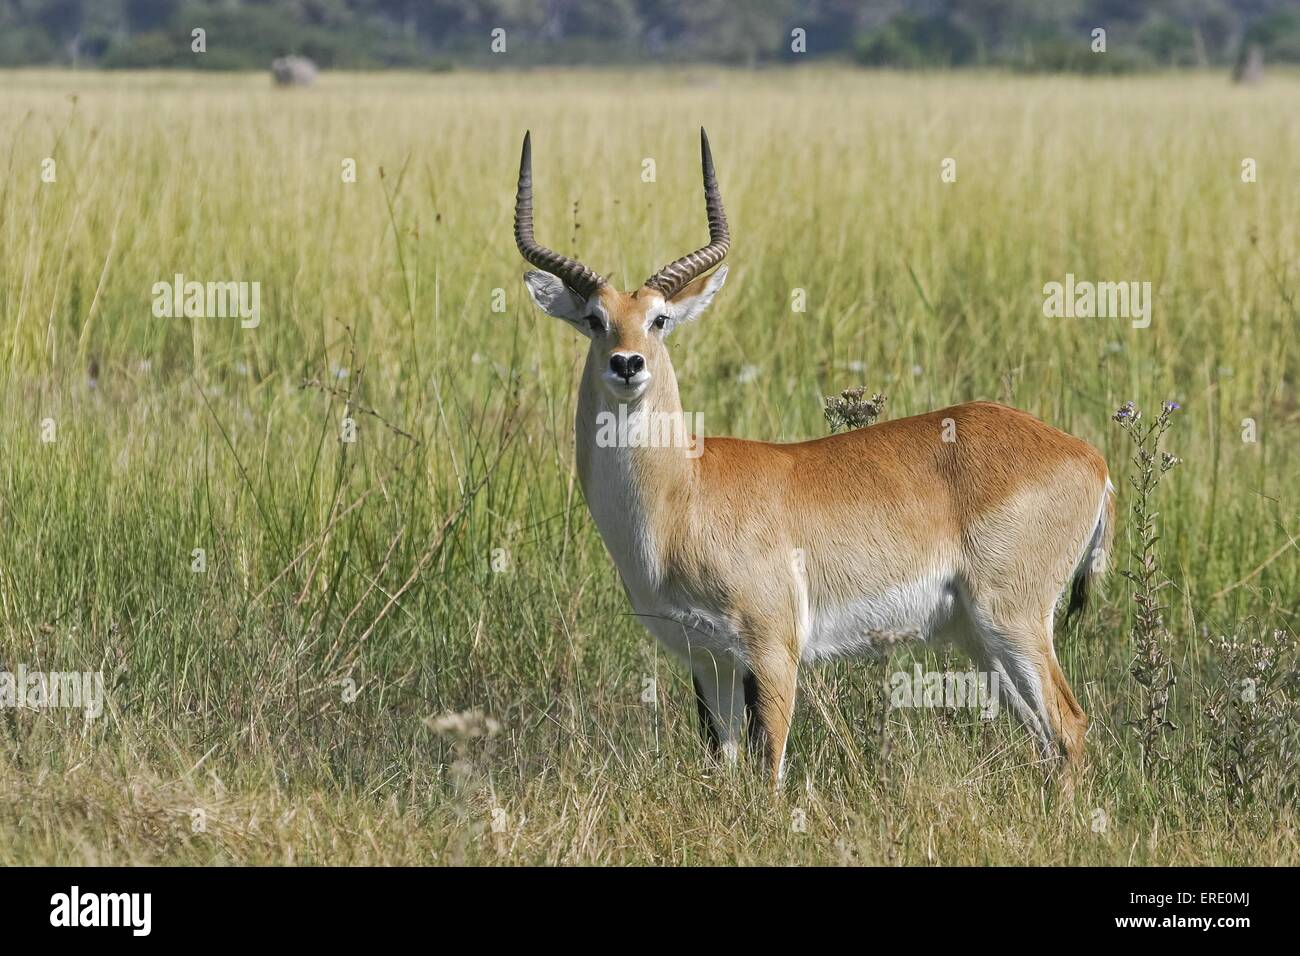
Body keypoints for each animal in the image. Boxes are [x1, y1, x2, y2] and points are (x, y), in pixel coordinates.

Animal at [517, 128, 1118, 785]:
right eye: (595, 319)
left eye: (660, 319)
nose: (627, 364)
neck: (683, 497)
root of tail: (1091, 458)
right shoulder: (708, 661)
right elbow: (725, 772)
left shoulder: (772, 648)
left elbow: (770, 772)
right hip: (982, 641)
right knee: (1046, 738)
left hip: (1011, 618)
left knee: (1070, 726)